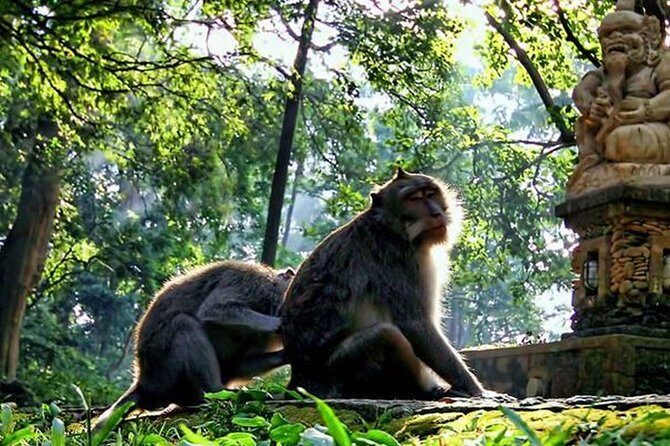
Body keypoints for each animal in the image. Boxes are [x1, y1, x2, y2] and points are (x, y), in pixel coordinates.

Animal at [95, 260, 294, 428]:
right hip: (164, 371)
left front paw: (286, 355)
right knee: (184, 324)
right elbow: (215, 309)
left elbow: (238, 364)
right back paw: (216, 393)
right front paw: (276, 323)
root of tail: (143, 383)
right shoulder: (250, 281)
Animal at [280, 168, 495, 400]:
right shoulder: (398, 261)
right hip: (338, 374)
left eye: (430, 194)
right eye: (414, 199)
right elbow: (415, 324)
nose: (436, 213)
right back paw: (423, 391)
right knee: (385, 335)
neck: (392, 229)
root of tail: (297, 382)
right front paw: (476, 389)